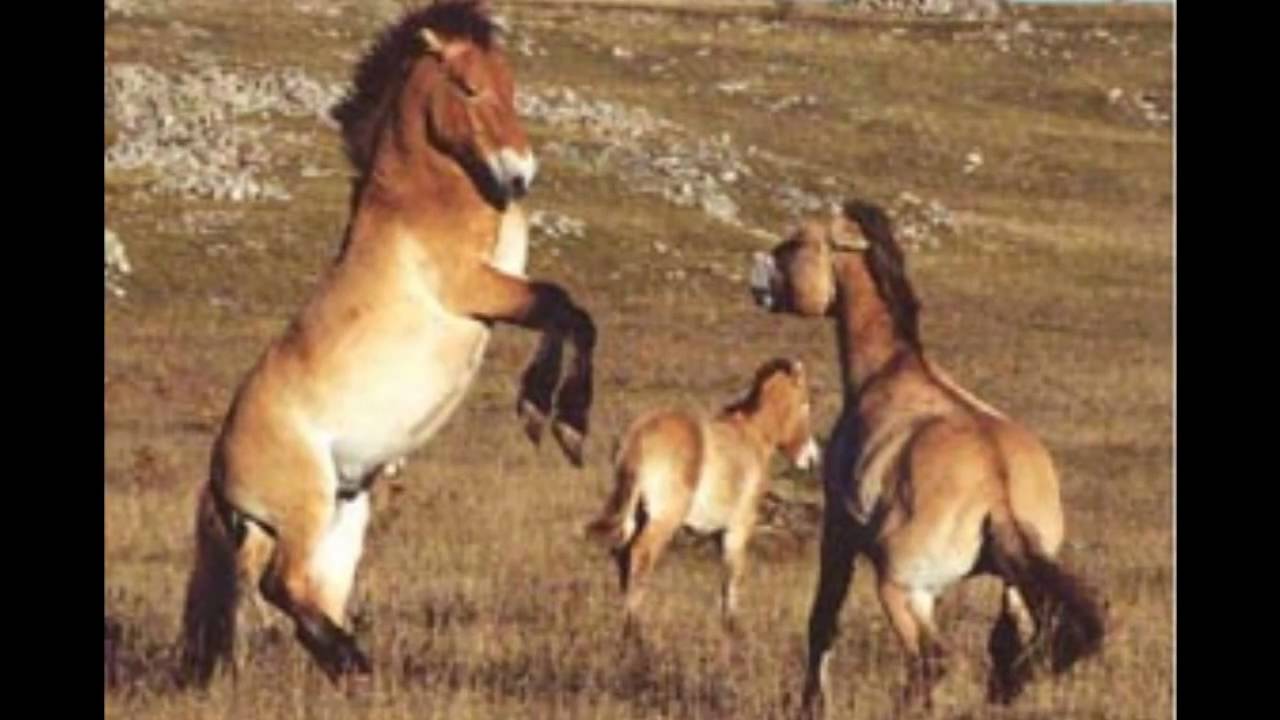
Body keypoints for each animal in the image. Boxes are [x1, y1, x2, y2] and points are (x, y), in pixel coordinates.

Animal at [179, 0, 597, 686]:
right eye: (468, 87)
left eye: (512, 84)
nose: (520, 176)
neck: (422, 203)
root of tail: (219, 478)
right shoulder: (475, 288)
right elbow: (565, 309)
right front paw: (559, 420)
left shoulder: (504, 289)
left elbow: (566, 314)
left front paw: (548, 416)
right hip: (305, 510)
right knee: (279, 587)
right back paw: (356, 660)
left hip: (341, 525)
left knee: (305, 601)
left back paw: (350, 666)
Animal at [584, 357, 820, 639]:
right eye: (805, 402)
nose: (812, 458)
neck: (752, 433)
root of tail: (639, 435)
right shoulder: (738, 528)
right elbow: (732, 574)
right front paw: (733, 629)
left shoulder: (718, 534)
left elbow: (723, 577)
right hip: (663, 520)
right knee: (640, 554)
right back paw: (635, 631)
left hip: (635, 518)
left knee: (621, 554)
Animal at [747, 201, 1105, 716]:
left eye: (797, 242)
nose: (758, 280)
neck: (888, 371)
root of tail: (997, 492)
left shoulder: (839, 529)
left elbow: (822, 623)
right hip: (1012, 591)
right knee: (1007, 656)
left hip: (904, 590)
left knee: (930, 661)